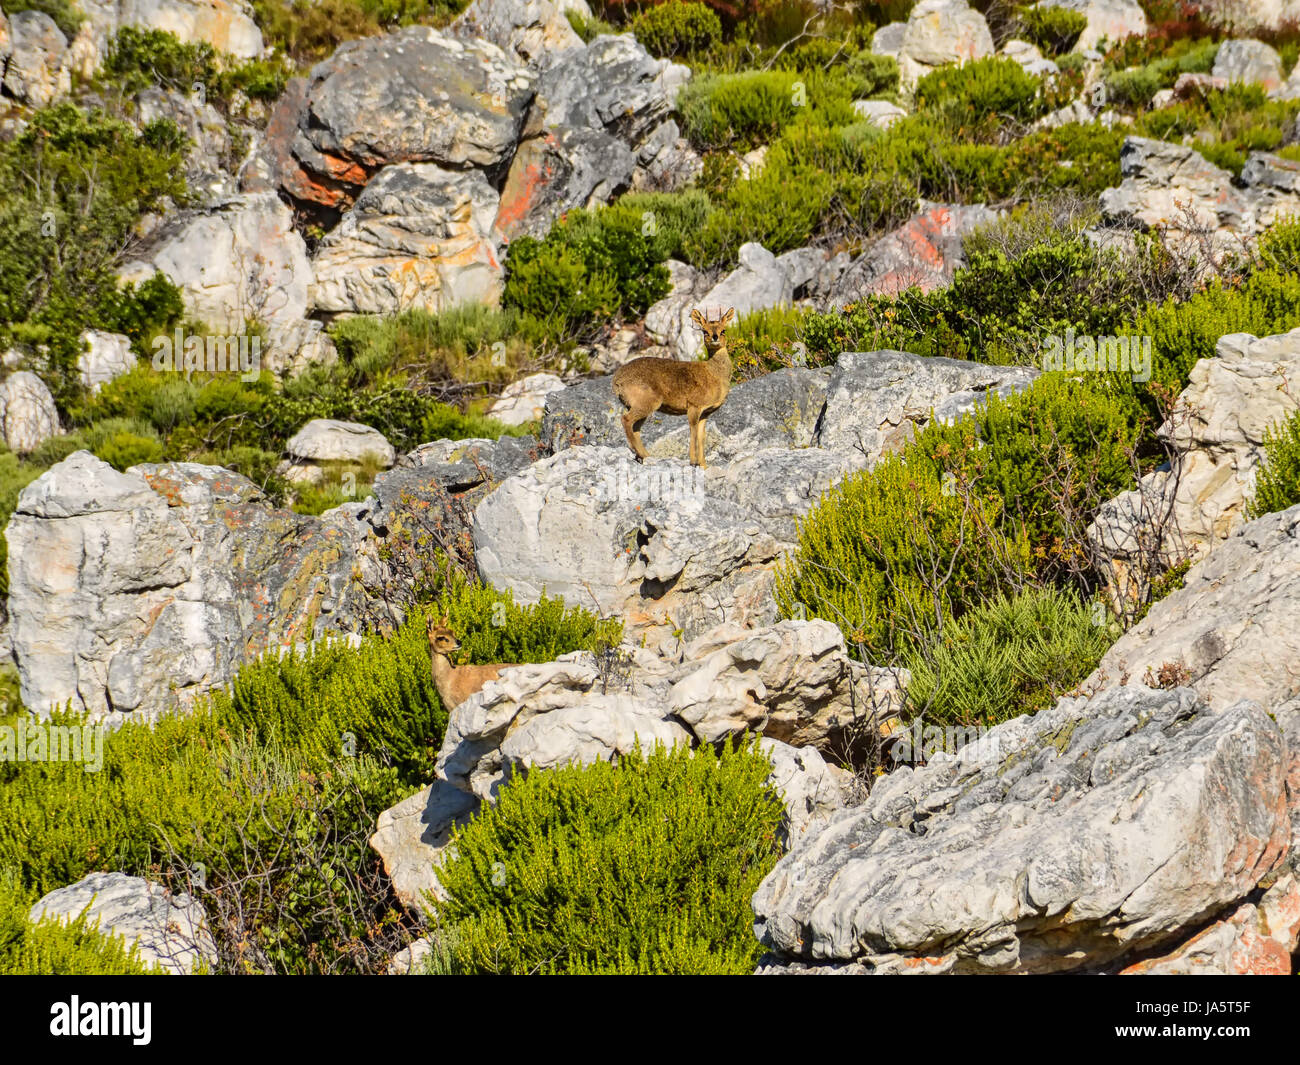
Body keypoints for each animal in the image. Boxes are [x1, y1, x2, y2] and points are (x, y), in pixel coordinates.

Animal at [612, 306, 736, 469]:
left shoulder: (706, 412)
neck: (714, 375)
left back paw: (644, 455)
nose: (714, 337)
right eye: (704, 331)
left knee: (635, 427)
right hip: (646, 402)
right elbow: (693, 431)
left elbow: (702, 436)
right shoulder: (694, 406)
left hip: (636, 405)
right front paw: (693, 461)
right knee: (626, 420)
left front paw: (703, 465)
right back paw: (643, 455)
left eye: (723, 330)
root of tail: (616, 381)